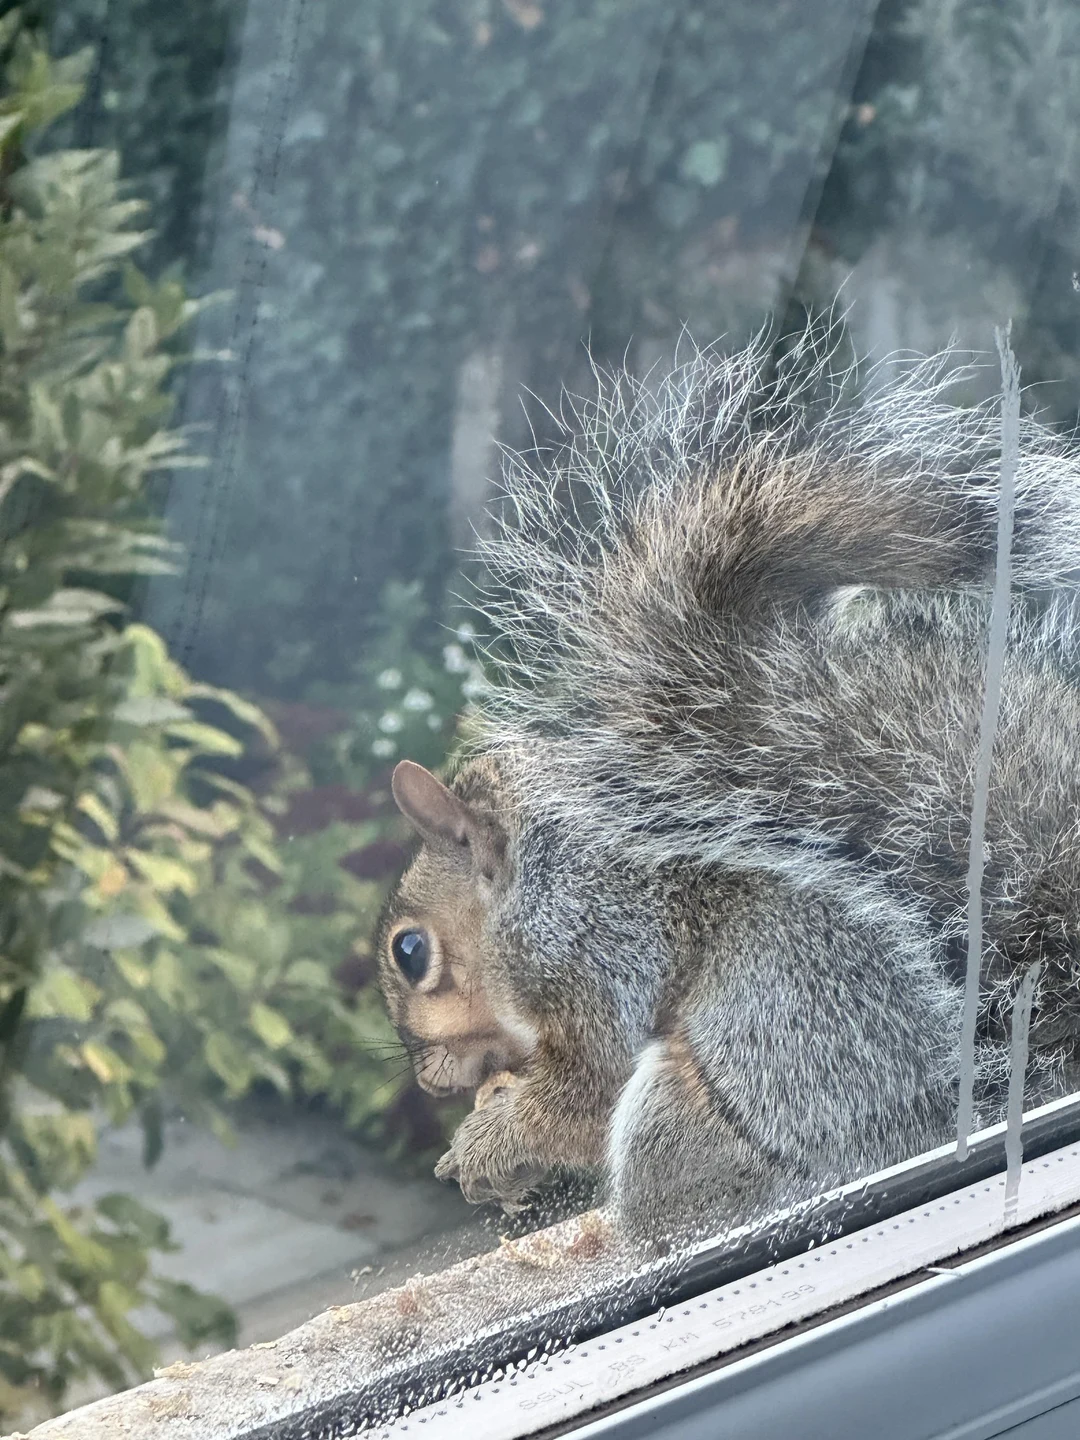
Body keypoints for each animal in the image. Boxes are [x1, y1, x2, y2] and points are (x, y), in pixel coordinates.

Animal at [377, 327, 1080, 1243]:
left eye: (411, 952)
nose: (428, 1081)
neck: (535, 879)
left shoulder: (589, 952)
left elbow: (585, 1091)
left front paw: (492, 1141)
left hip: (687, 1114)